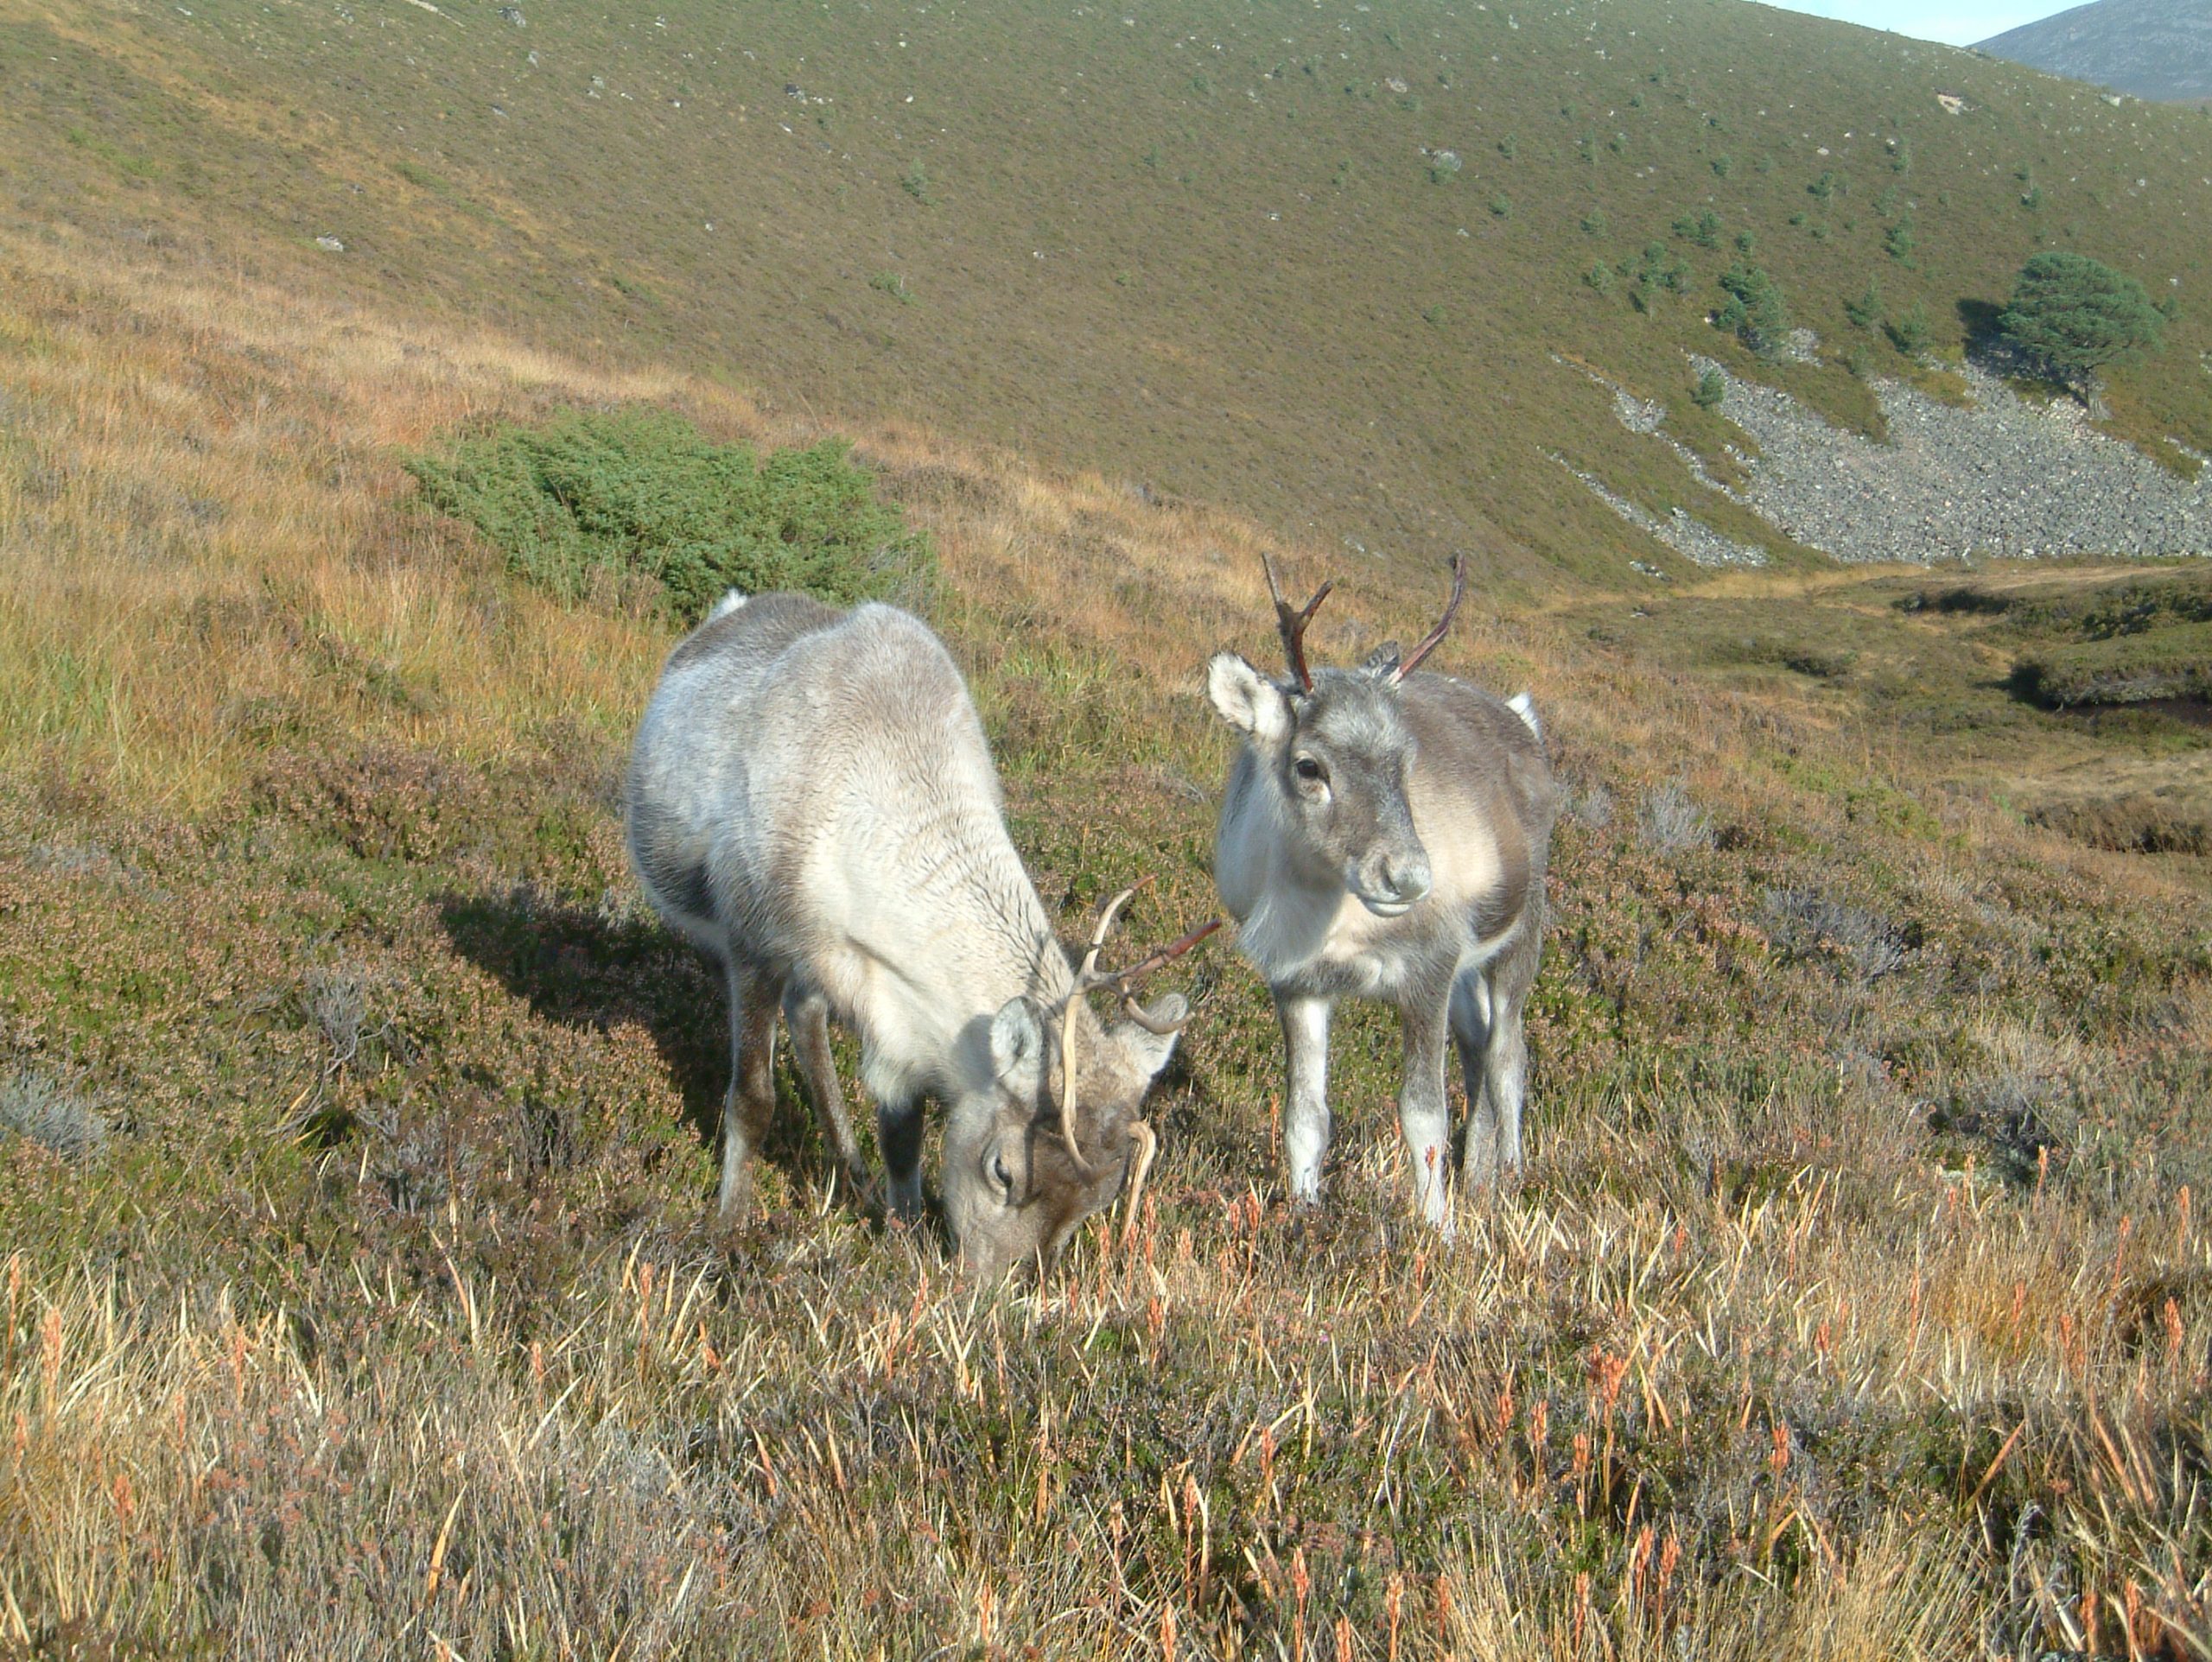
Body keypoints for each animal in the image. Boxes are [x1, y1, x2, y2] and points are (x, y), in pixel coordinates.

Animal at [624, 589, 1212, 1280]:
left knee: (809, 1018)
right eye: (1002, 1170)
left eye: (1097, 1203)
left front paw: (901, 1231)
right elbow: (753, 1100)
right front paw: (727, 1227)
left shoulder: (893, 1006)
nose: (993, 1292)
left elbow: (902, 1132)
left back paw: (853, 1174)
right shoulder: (754, 948)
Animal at [1205, 555, 1559, 1228]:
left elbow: (1423, 1115)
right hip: (1467, 975)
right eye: (1309, 765)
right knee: (1478, 1049)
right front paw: (1304, 1217)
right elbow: (1305, 1119)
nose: (1410, 876)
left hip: (1520, 935)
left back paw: (1510, 1177)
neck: (1322, 909)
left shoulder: (1428, 970)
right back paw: (1478, 1175)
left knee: (1509, 1055)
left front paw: (1437, 1232)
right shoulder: (1297, 984)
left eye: (1406, 762)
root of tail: (1525, 722)